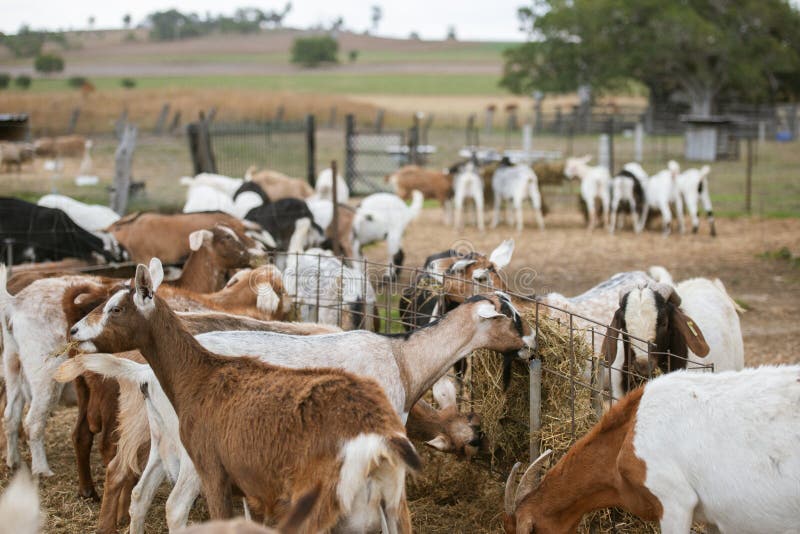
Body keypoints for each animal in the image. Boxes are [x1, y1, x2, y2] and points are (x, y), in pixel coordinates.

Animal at [69, 259, 421, 532]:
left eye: (115, 308)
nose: (74, 331)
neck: (198, 374)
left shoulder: (212, 472)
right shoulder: (251, 487)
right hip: (389, 498)